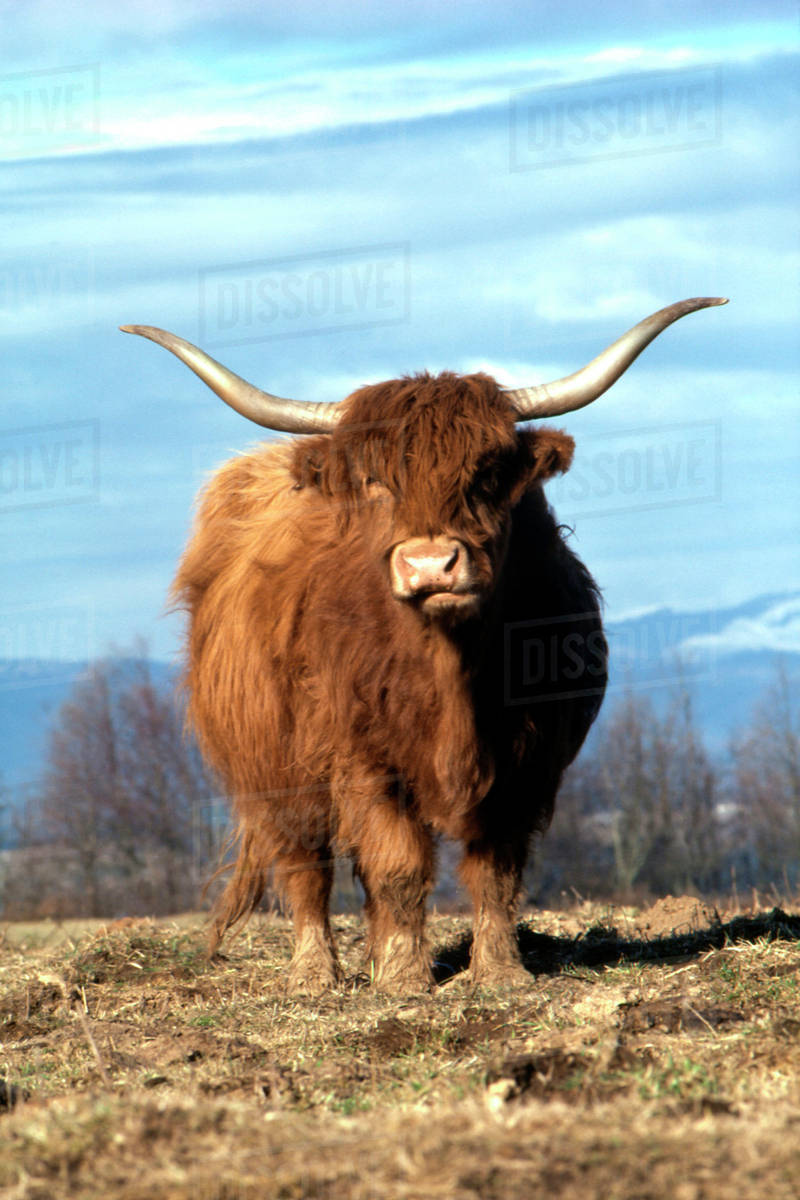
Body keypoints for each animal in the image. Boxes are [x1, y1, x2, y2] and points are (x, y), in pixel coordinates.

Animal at [121, 296, 726, 993]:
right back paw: (315, 975)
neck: (449, 670)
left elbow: (495, 870)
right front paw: (407, 980)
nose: (431, 564)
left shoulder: (529, 761)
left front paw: (498, 972)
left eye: (487, 475)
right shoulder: (363, 759)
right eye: (375, 480)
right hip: (274, 765)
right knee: (305, 864)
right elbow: (398, 866)